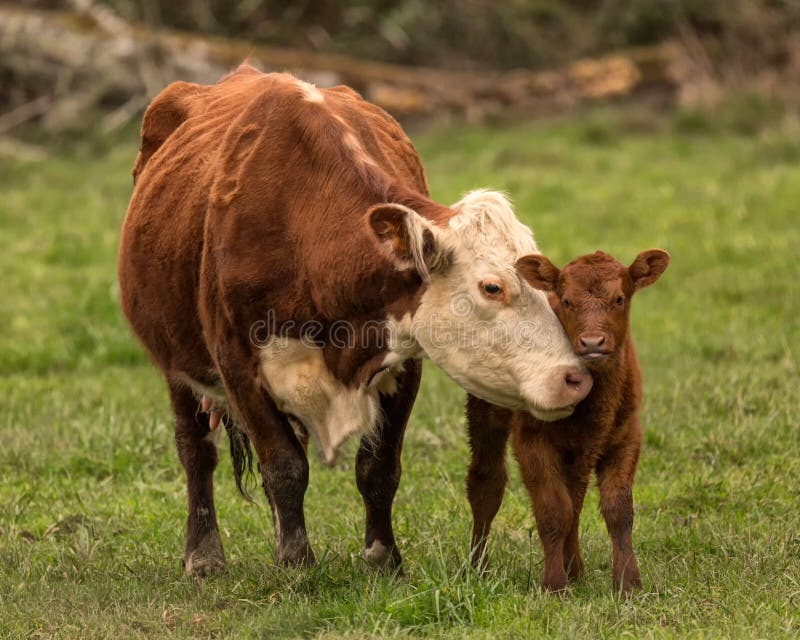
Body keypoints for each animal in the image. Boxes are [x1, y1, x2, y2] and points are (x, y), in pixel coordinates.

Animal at [118, 65, 592, 577]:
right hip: (177, 363)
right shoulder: (238, 366)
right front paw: (297, 563)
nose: (575, 378)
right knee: (196, 451)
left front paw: (383, 556)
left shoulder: (403, 361)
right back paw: (204, 555)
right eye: (492, 287)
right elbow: (284, 466)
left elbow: (377, 468)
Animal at [465, 249, 669, 593]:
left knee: (575, 497)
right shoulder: (532, 440)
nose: (592, 342)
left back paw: (576, 569)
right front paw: (554, 584)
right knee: (486, 483)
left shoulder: (627, 436)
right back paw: (478, 568)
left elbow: (617, 509)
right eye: (566, 301)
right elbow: (552, 510)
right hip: (485, 410)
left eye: (619, 298)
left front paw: (628, 583)